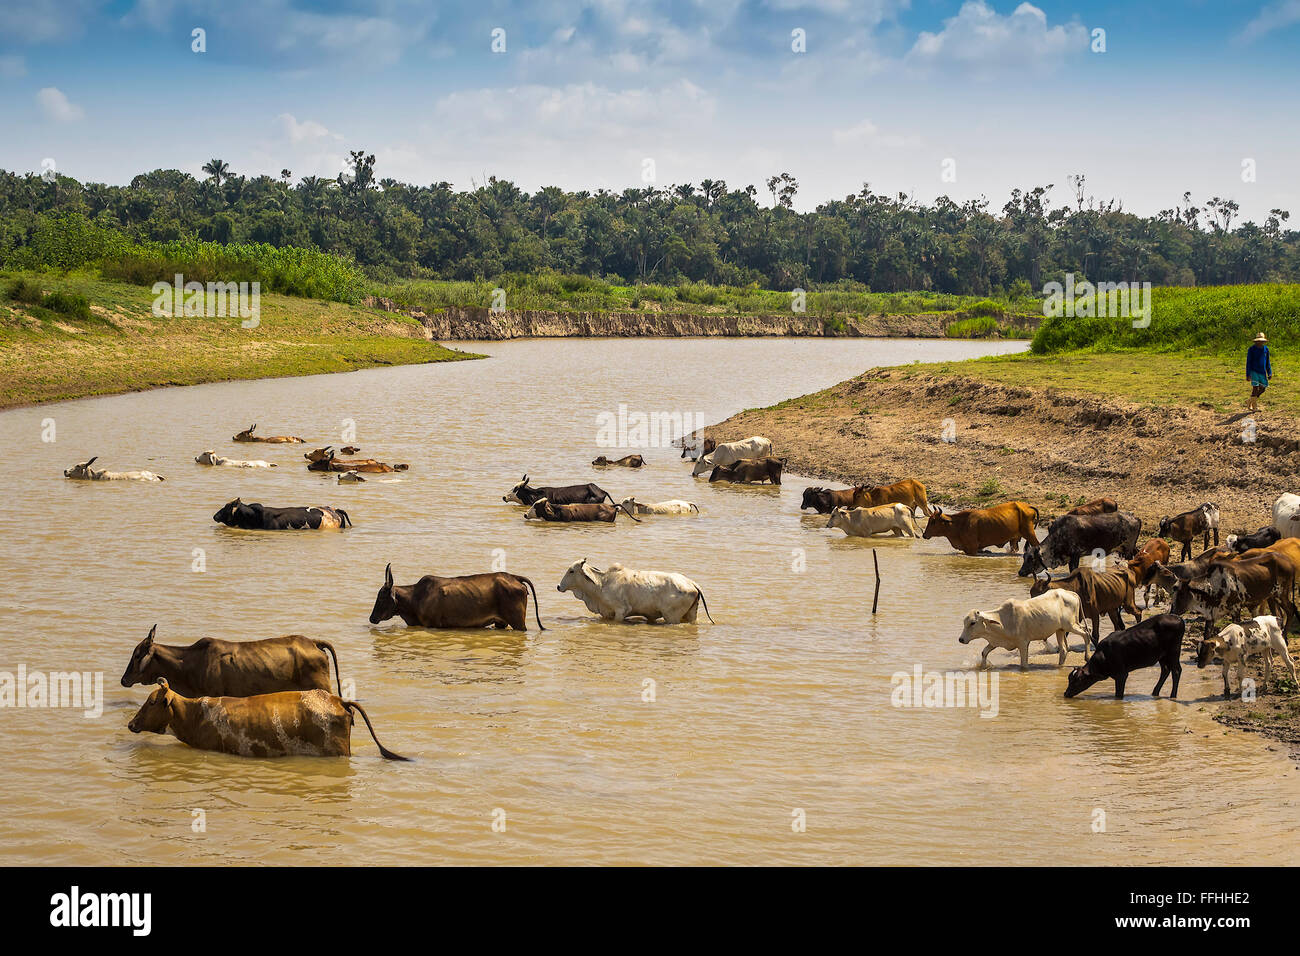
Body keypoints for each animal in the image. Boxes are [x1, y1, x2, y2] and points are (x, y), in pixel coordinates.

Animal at [369, 563, 545, 630]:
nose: (372, 618)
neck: (415, 598)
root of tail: (514, 577)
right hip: (501, 623)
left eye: (381, 597)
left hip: (518, 623)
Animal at [557, 558, 714, 624]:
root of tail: (692, 583)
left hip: (671, 617)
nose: (559, 586)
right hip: (691, 614)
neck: (602, 583)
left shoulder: (621, 610)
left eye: (571, 571)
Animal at [958, 590, 1088, 669]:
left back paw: (1087, 657)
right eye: (964, 622)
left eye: (972, 623)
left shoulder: (1023, 643)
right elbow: (984, 652)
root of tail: (1069, 592)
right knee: (1064, 650)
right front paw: (983, 667)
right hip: (1060, 630)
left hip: (1070, 625)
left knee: (1086, 633)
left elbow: (1024, 664)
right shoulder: (994, 642)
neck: (1004, 620)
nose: (961, 639)